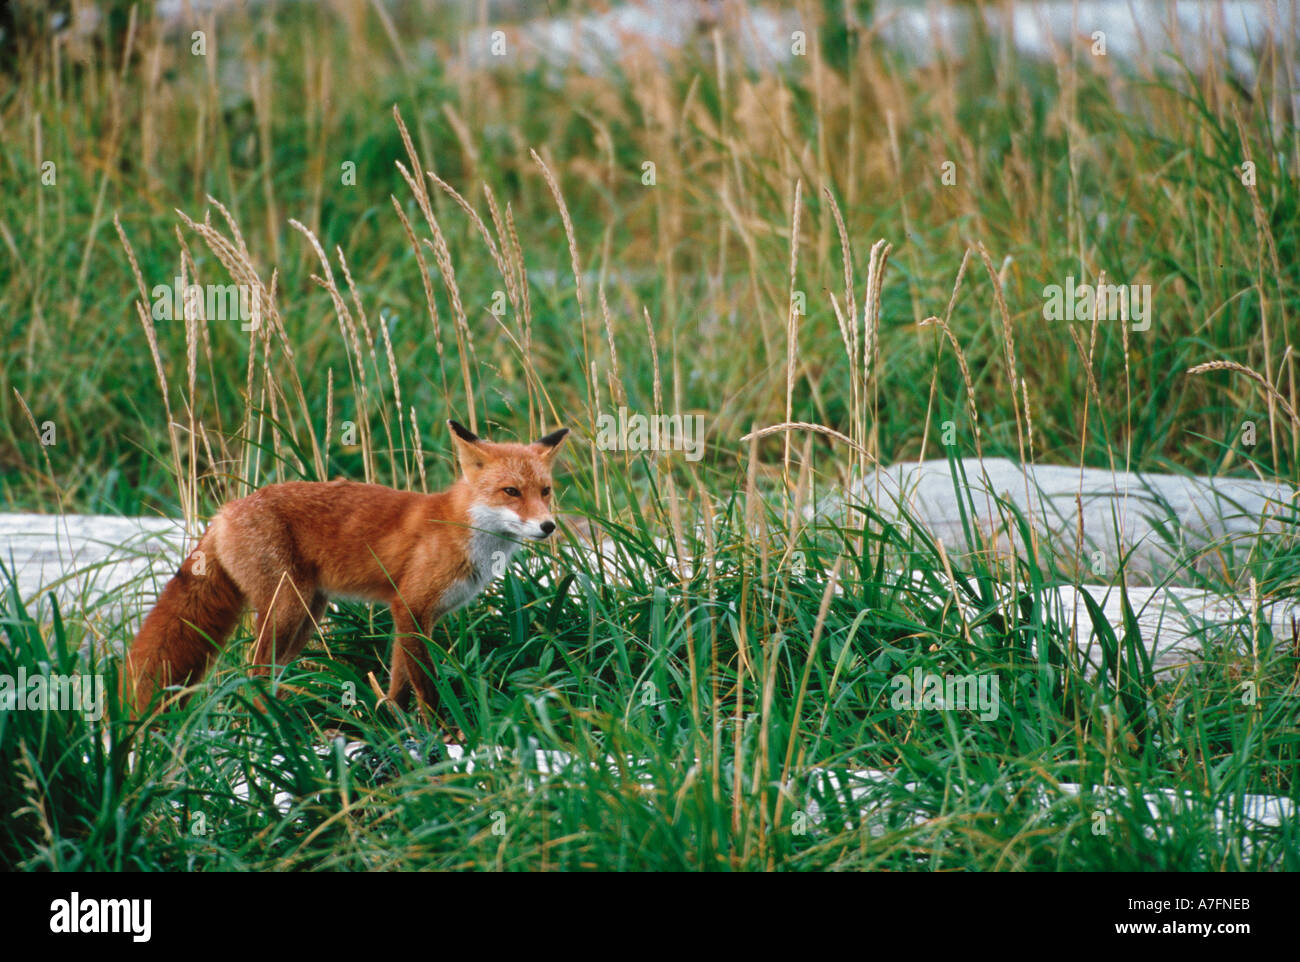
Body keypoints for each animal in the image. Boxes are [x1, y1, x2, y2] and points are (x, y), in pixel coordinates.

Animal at [125, 419, 568, 713]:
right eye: (511, 492)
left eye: (546, 491)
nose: (548, 526)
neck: (462, 528)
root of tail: (223, 512)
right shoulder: (411, 607)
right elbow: (425, 685)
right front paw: (441, 731)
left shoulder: (413, 616)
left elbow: (399, 683)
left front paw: (393, 721)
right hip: (286, 607)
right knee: (254, 671)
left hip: (308, 615)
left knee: (271, 671)